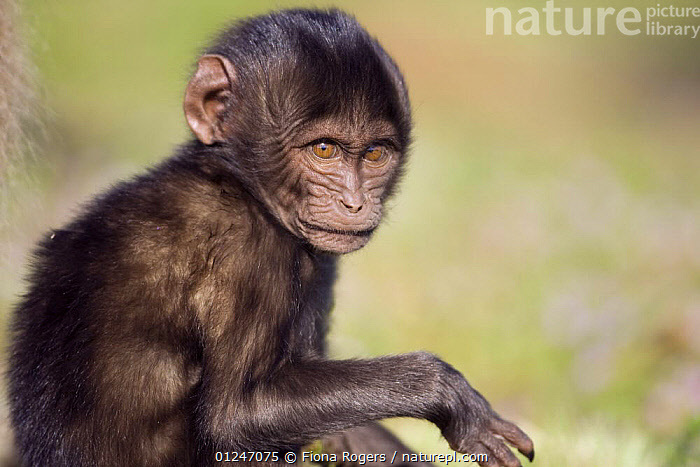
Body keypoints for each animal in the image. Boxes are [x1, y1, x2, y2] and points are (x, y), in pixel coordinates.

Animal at [8, 9, 535, 467]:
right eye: (324, 150)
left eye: (375, 154)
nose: (354, 202)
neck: (238, 181)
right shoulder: (248, 251)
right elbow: (239, 415)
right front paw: (447, 395)